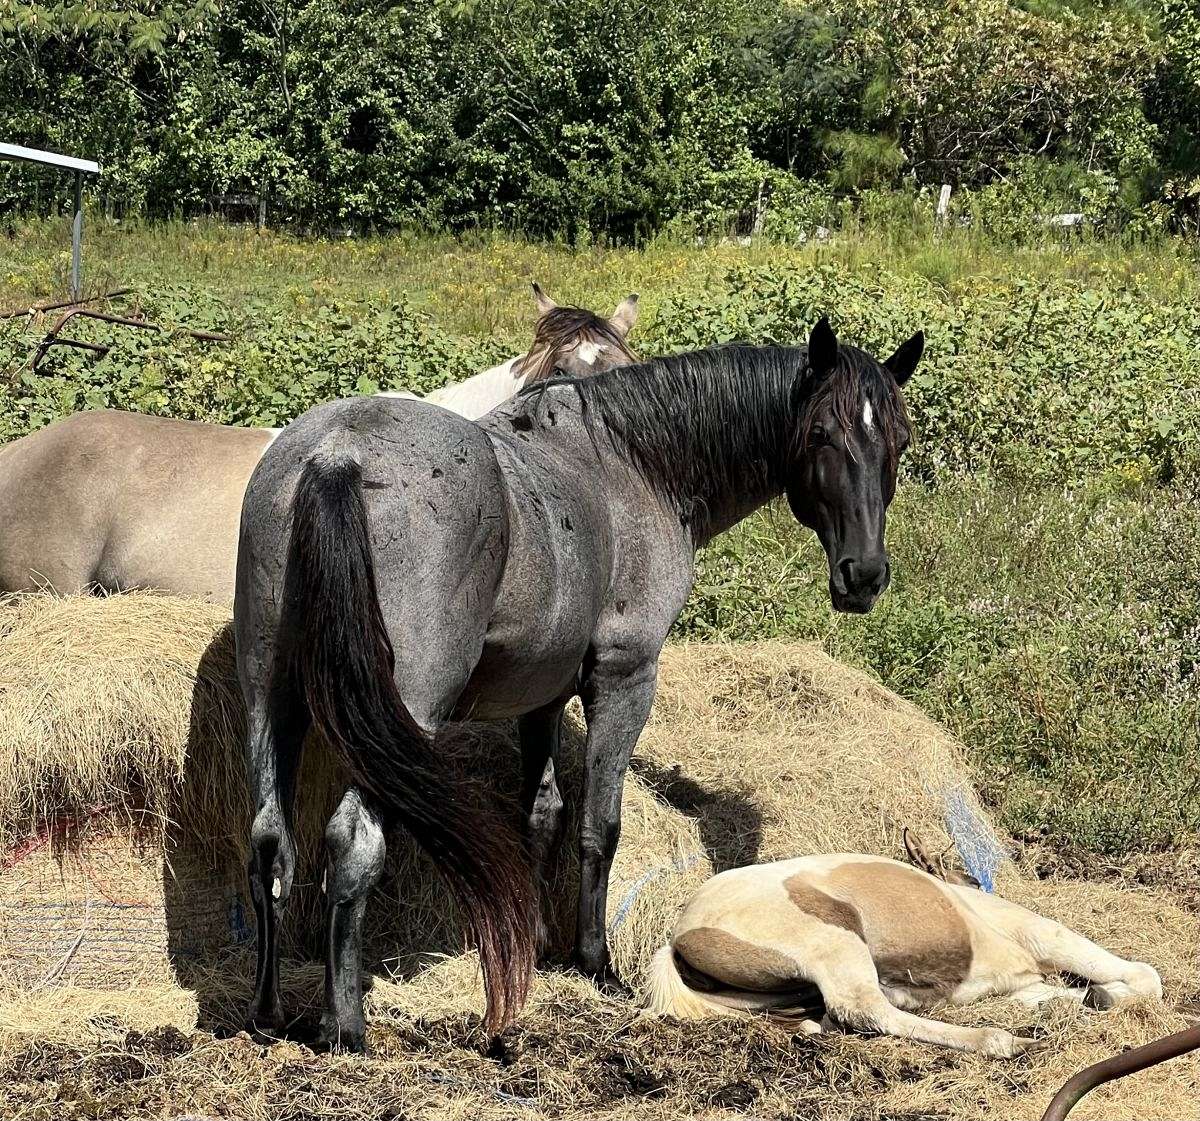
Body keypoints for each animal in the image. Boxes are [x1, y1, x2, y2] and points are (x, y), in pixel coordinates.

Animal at [233, 317, 924, 1048]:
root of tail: (337, 454)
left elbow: (541, 815)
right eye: (822, 434)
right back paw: (346, 1026)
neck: (632, 464)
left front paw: (537, 944)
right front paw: (596, 963)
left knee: (270, 842)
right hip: (400, 714)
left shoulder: (539, 694)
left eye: (899, 440)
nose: (864, 575)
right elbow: (600, 823)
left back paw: (267, 1013)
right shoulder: (625, 678)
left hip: (270, 699)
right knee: (352, 843)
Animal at [645, 850, 1162, 1057]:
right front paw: (1107, 995)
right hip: (836, 936)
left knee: (834, 1015)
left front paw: (1095, 998)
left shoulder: (1023, 987)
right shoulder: (1041, 938)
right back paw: (1004, 1042)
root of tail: (679, 934)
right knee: (862, 1009)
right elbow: (1144, 978)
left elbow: (1060, 997)